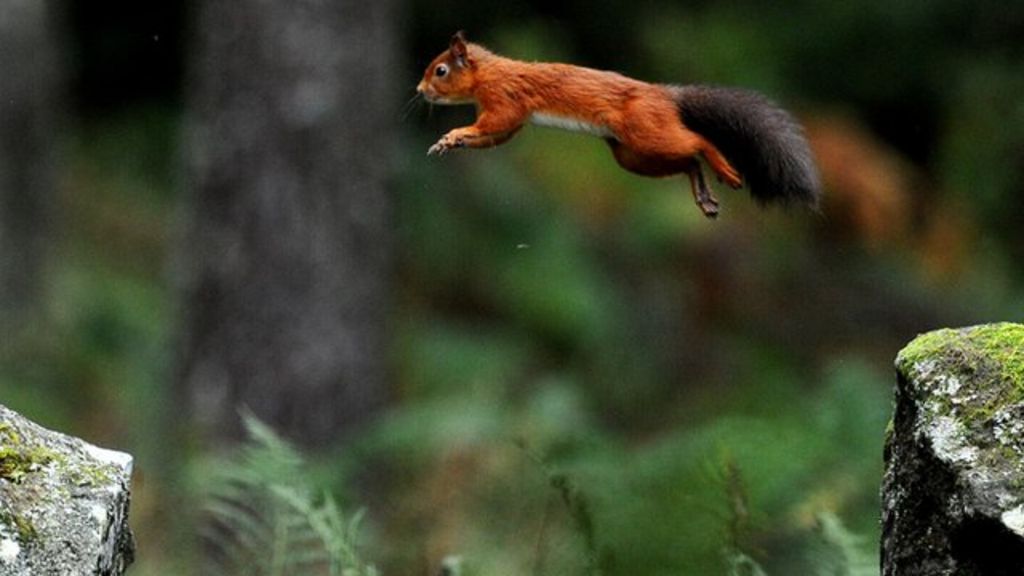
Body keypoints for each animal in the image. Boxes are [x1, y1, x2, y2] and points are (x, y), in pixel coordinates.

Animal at [418, 31, 820, 218]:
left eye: (441, 70)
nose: (420, 90)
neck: (488, 72)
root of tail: (664, 95)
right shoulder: (510, 118)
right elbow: (498, 136)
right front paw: (450, 141)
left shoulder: (505, 98)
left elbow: (494, 123)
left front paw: (457, 133)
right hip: (634, 156)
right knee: (688, 161)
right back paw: (704, 195)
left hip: (646, 131)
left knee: (697, 143)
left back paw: (725, 170)